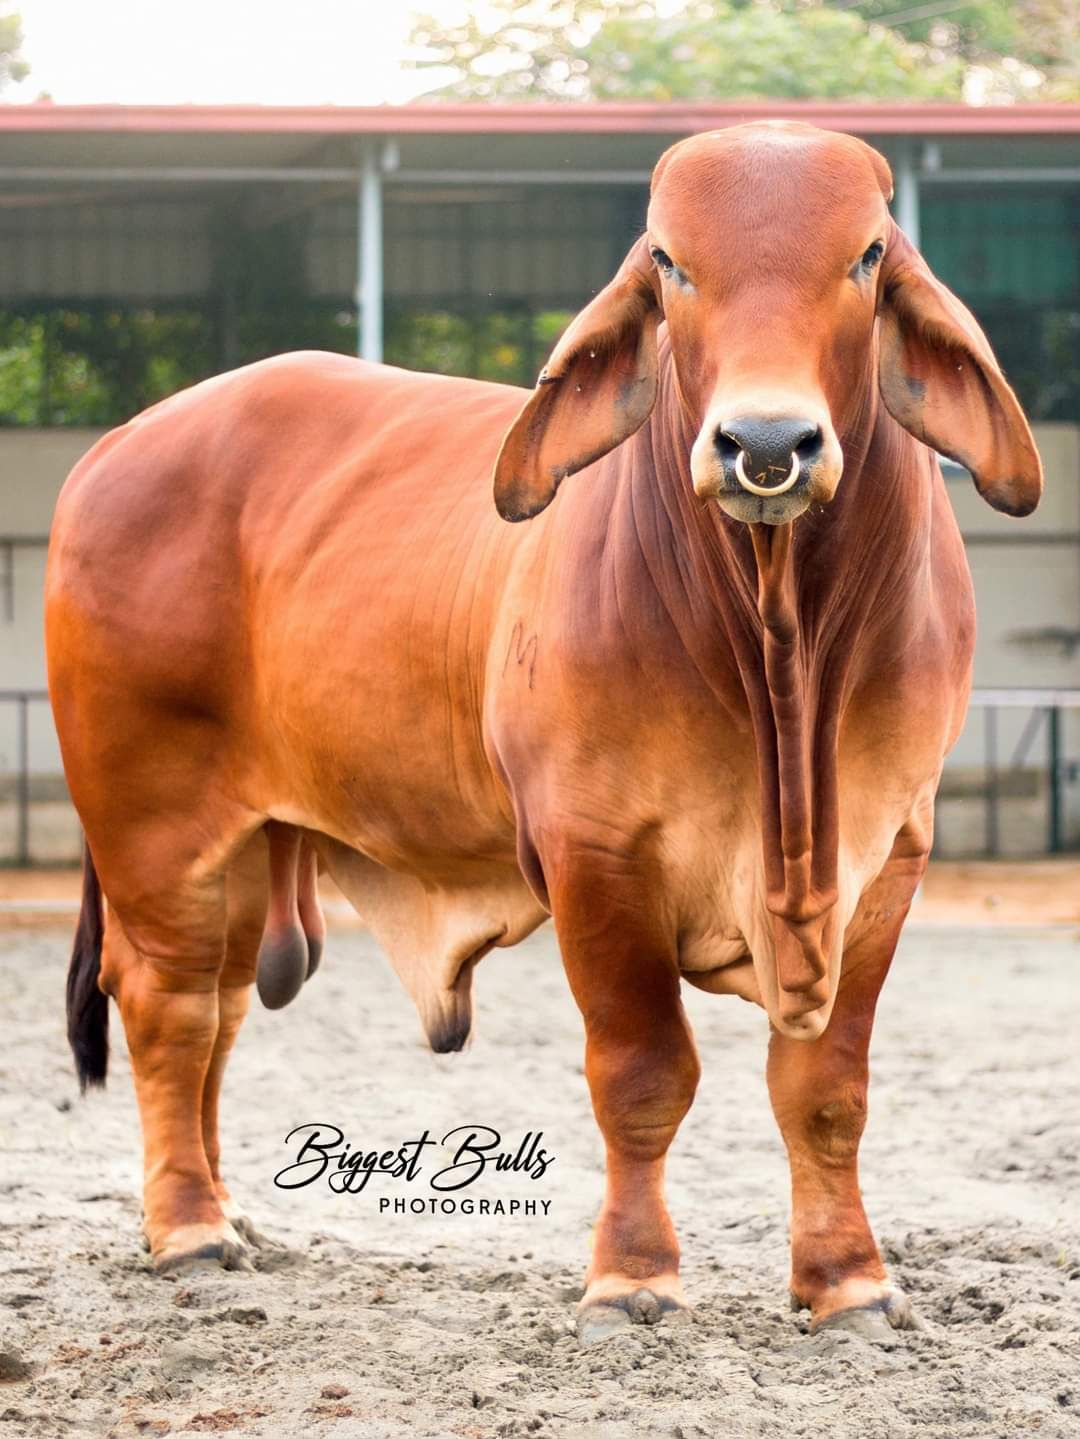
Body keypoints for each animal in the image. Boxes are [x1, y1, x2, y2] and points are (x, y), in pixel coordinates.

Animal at [48, 121, 1041, 1346]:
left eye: (865, 256)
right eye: (668, 261)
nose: (767, 442)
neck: (783, 653)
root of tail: (121, 444)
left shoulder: (889, 850)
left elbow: (826, 1089)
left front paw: (848, 1281)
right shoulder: (595, 851)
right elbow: (644, 1072)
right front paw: (633, 1277)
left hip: (240, 849)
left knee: (222, 1013)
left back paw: (227, 1215)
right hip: (152, 823)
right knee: (169, 1007)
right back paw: (186, 1227)